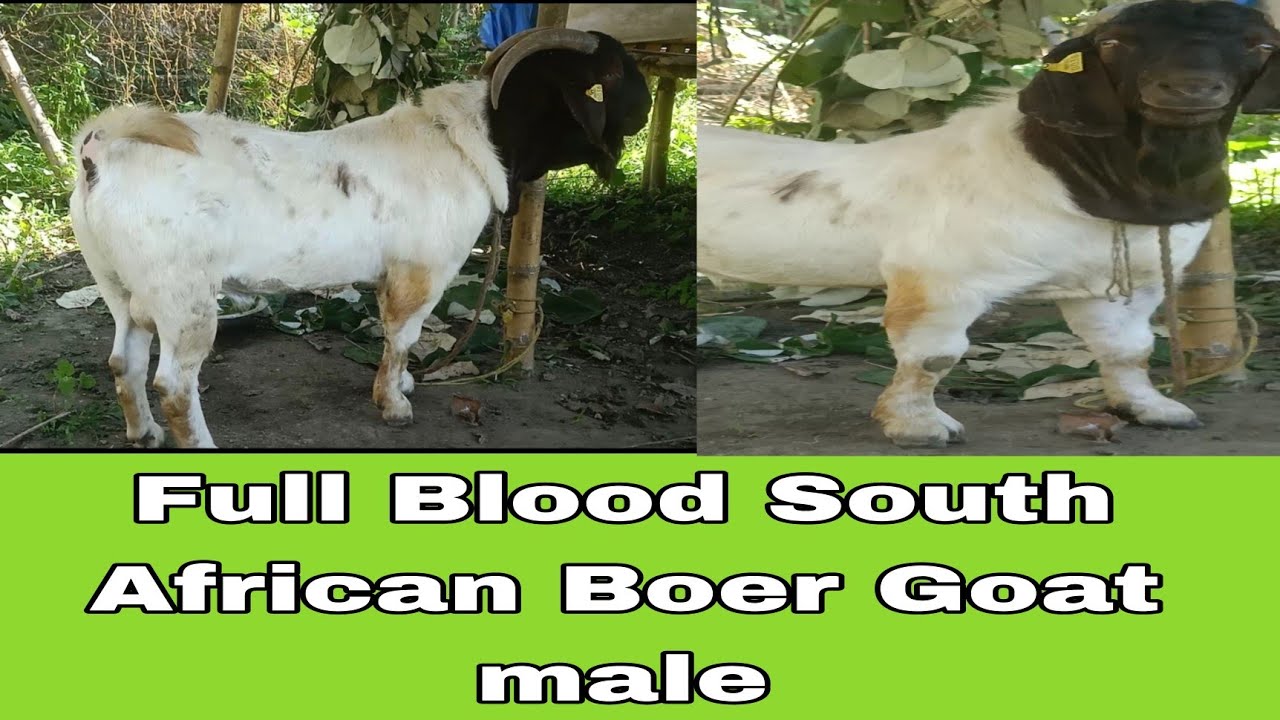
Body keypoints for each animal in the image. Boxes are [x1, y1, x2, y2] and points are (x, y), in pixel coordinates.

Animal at [70, 28, 651, 448]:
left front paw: (403, 385)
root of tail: (103, 148)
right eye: (611, 75)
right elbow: (402, 337)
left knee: (124, 359)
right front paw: (395, 404)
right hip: (182, 294)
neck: (467, 139)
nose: (645, 109)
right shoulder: (422, 271)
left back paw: (144, 433)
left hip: (120, 284)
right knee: (174, 384)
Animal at [697, 0, 1280, 448]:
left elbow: (1129, 350)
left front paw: (1153, 408)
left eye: (1258, 45)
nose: (1190, 89)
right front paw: (919, 427)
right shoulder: (939, 278)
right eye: (1115, 44)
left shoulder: (1122, 284)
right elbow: (934, 357)